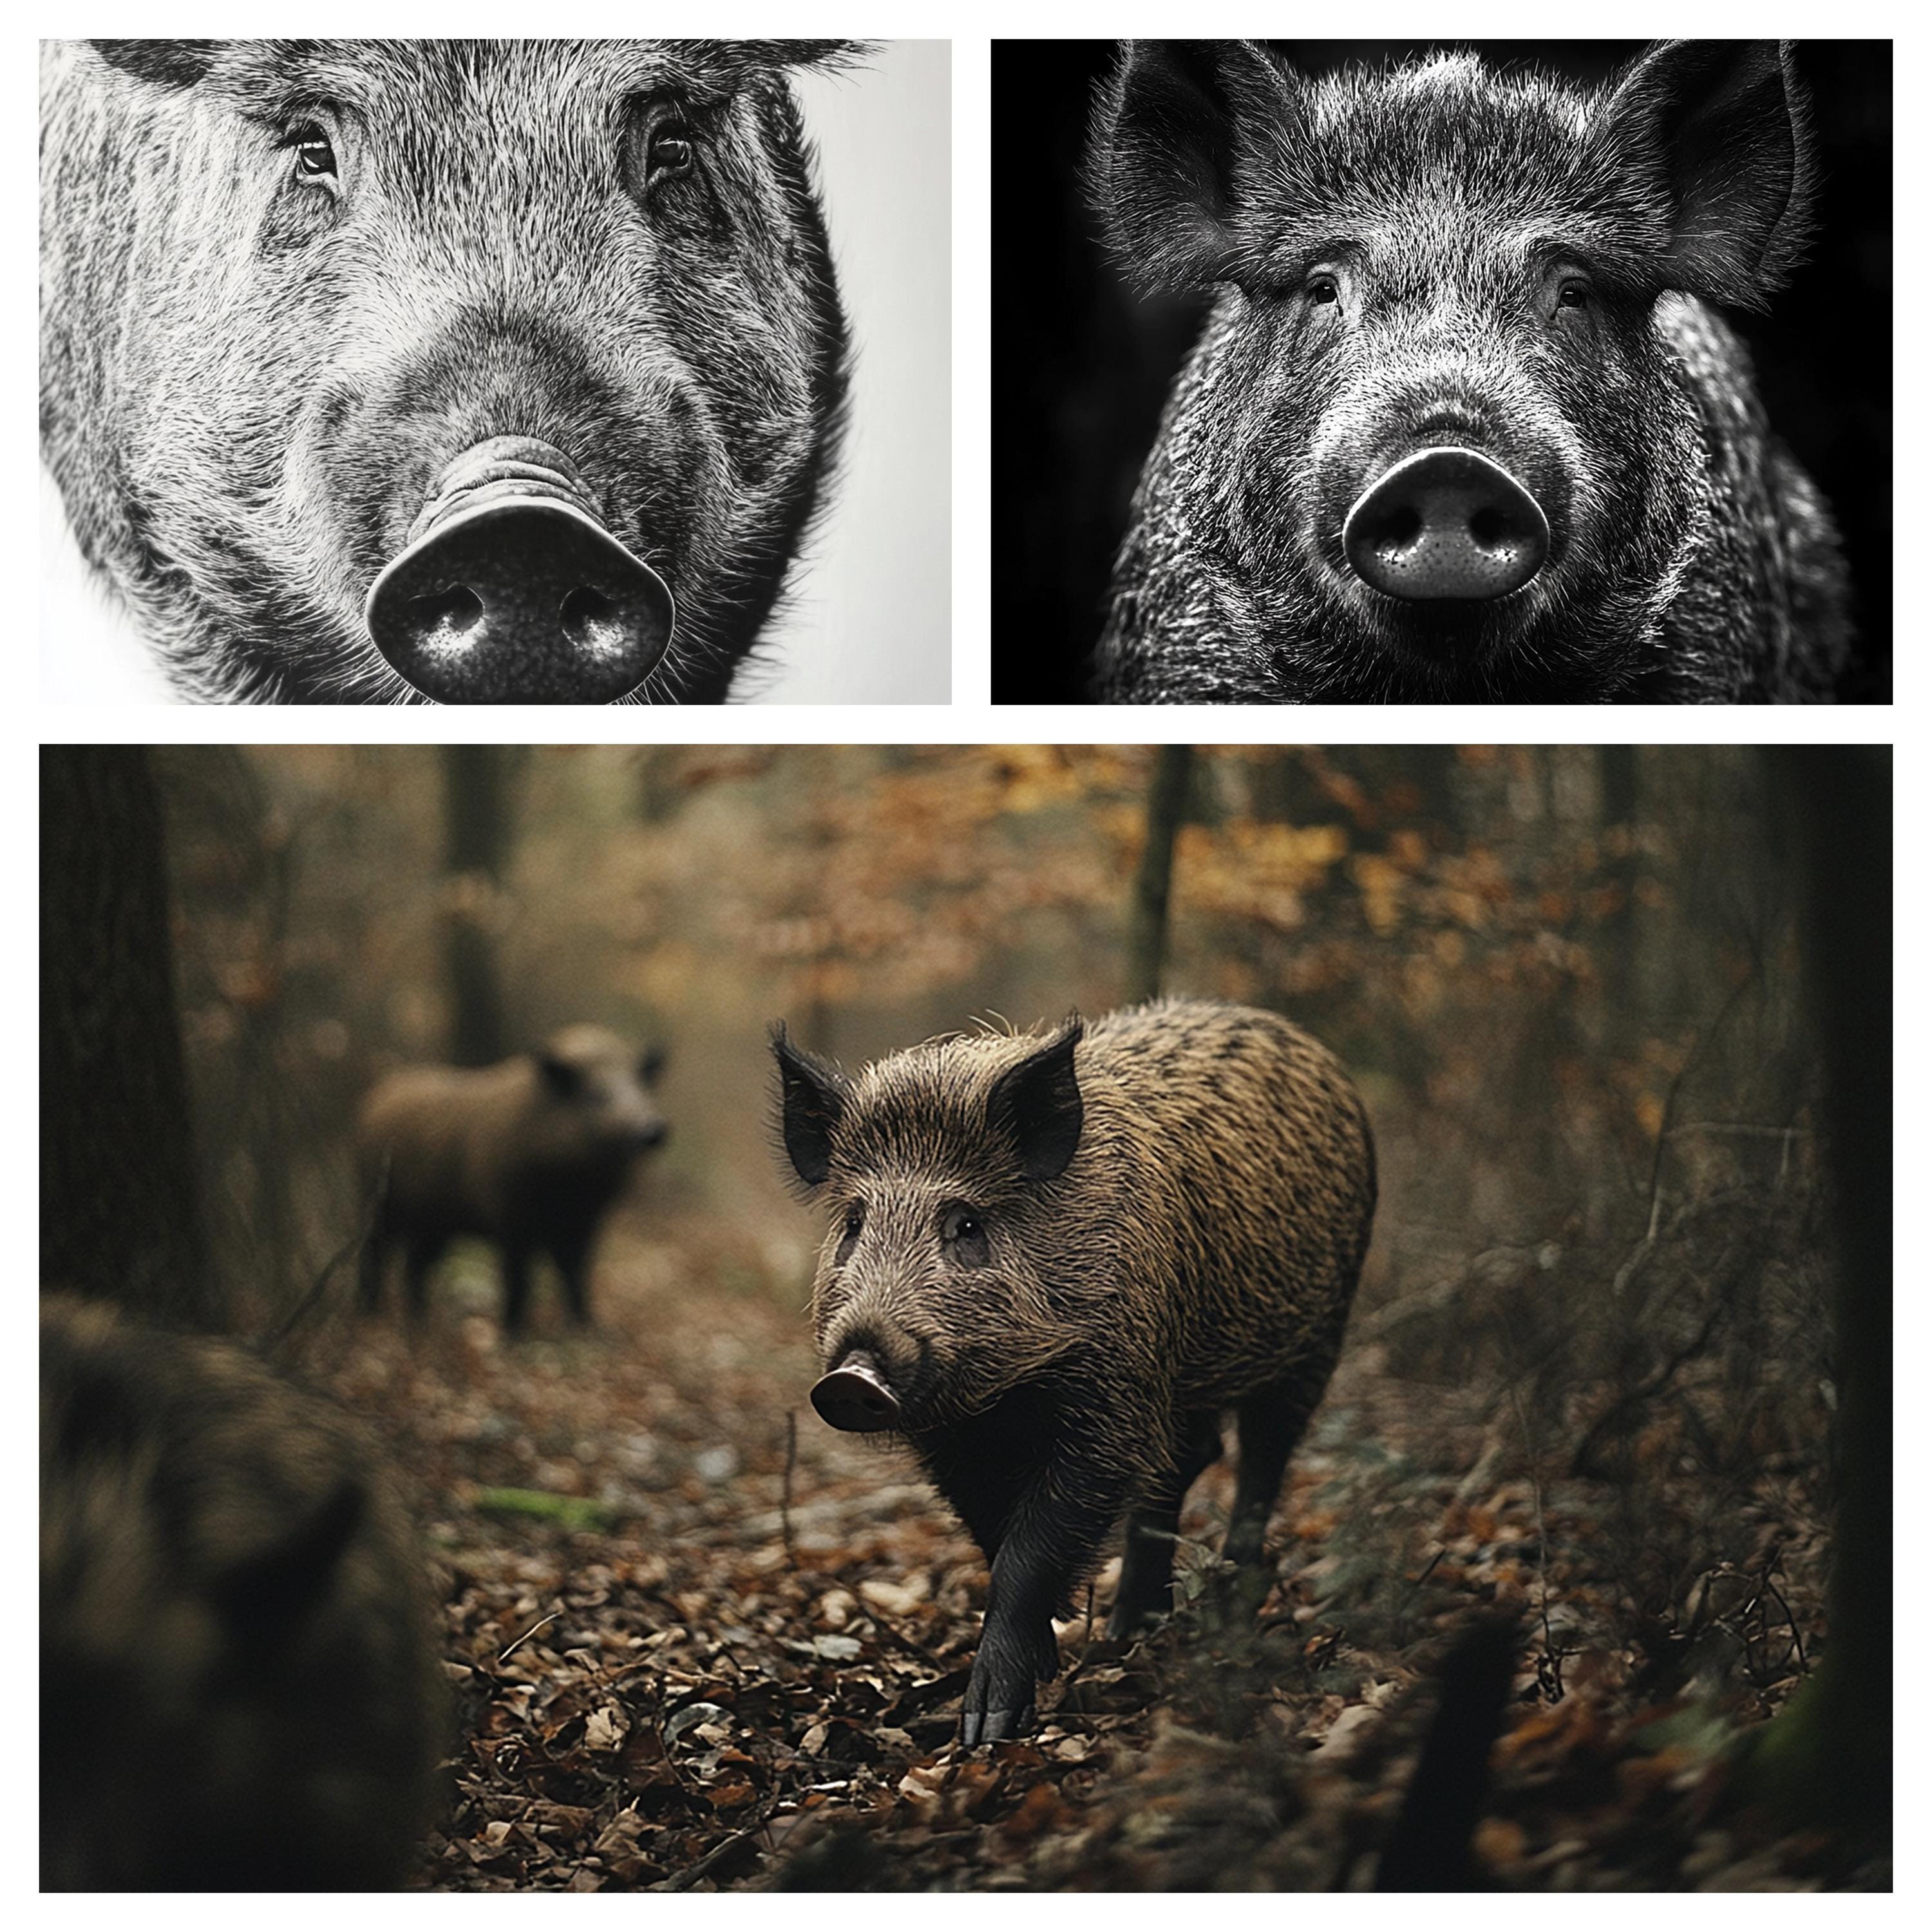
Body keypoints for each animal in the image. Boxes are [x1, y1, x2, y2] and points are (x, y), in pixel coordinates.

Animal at [357, 1025, 668, 1334]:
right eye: (595, 1095)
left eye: (642, 1088)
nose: (654, 1128)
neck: (570, 1185)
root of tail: (374, 1100)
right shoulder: (509, 1216)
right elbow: (518, 1277)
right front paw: (514, 1334)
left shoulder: (586, 1222)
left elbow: (576, 1273)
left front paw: (590, 1329)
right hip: (376, 1203)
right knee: (374, 1256)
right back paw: (370, 1316)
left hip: (434, 1226)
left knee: (416, 1266)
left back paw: (418, 1322)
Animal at [772, 999, 1376, 1742]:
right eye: (854, 1223)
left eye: (966, 1225)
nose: (851, 1379)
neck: (1008, 1397)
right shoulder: (953, 1442)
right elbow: (995, 1537)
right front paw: (1045, 1669)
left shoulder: (1113, 1401)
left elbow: (1032, 1548)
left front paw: (990, 1727)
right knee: (1190, 1458)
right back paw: (1130, 1630)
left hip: (1315, 1336)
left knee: (1262, 1459)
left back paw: (1227, 1616)